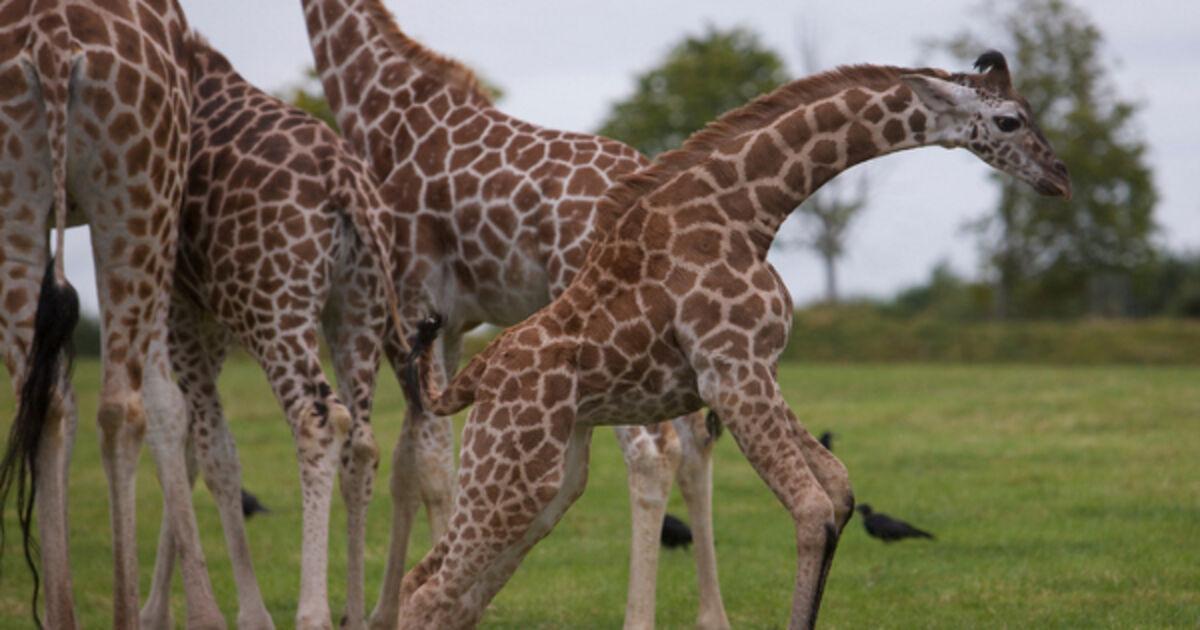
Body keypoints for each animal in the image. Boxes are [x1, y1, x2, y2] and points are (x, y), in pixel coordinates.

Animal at [0, 1, 233, 628]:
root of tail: (51, 49)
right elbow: (168, 403)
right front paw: (201, 612)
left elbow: (62, 395)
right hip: (136, 199)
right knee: (121, 407)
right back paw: (127, 613)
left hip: (15, 202)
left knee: (44, 404)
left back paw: (61, 613)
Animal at [138, 32, 413, 630]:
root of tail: (343, 180)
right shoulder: (207, 315)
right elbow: (194, 443)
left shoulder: (179, 304)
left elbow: (213, 448)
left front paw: (238, 614)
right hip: (357, 305)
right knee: (362, 439)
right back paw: (355, 614)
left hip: (273, 305)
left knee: (317, 419)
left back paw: (312, 613)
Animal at [300, 1, 729, 628]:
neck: (382, 111)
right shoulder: (447, 326)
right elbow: (411, 465)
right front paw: (390, 608)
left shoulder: (414, 299)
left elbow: (433, 467)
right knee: (696, 442)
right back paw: (712, 615)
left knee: (653, 455)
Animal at [400, 52, 1071, 629]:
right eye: (1009, 120)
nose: (1060, 177)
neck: (750, 212)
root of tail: (471, 382)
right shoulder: (730, 371)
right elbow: (812, 510)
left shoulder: (758, 369)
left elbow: (839, 488)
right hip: (510, 470)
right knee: (431, 596)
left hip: (551, 482)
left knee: (437, 592)